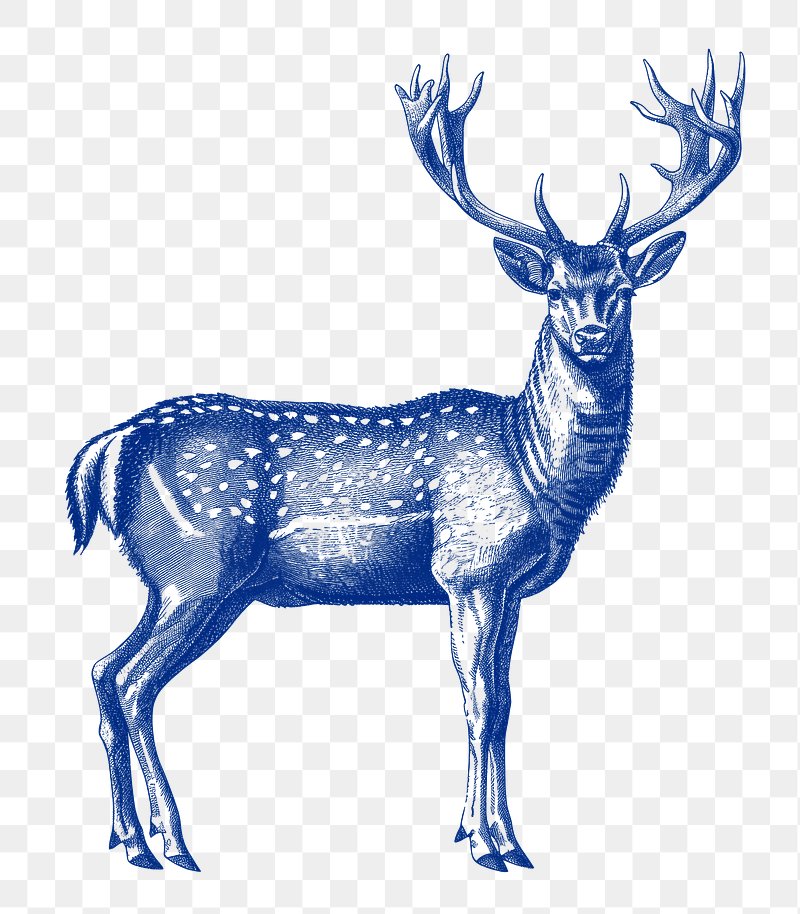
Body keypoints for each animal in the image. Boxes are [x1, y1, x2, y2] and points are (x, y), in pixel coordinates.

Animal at [67, 51, 745, 873]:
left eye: (621, 290)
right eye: (555, 290)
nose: (589, 334)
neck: (538, 471)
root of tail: (108, 447)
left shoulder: (510, 588)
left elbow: (503, 700)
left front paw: (485, 833)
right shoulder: (468, 569)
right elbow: (483, 703)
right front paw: (492, 843)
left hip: (191, 583)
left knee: (108, 674)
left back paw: (133, 838)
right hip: (197, 568)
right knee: (131, 683)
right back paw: (167, 842)